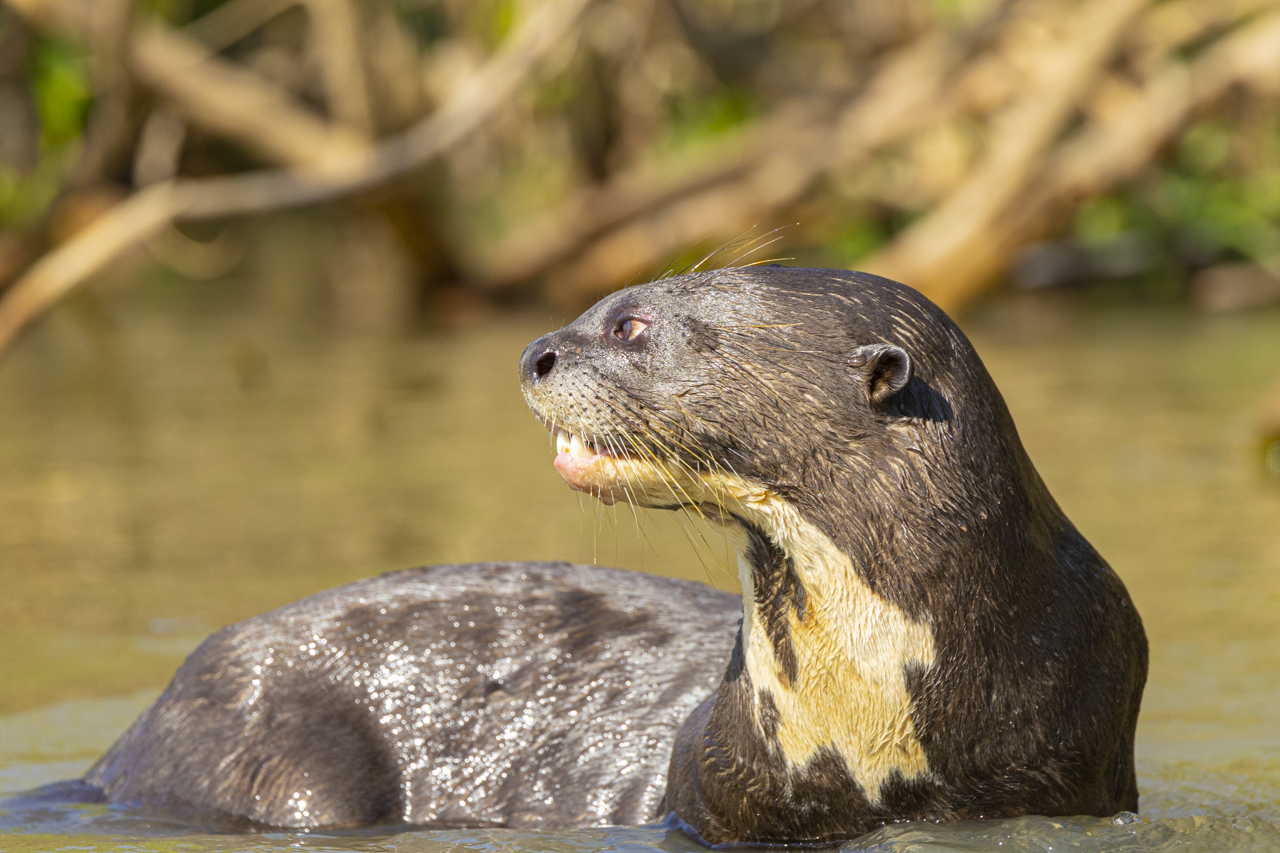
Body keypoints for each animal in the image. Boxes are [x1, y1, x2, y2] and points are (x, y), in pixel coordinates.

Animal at [71, 267, 1145, 844]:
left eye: (632, 323)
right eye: (599, 305)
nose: (534, 352)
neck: (880, 712)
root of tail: (132, 735)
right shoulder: (713, 789)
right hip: (280, 756)